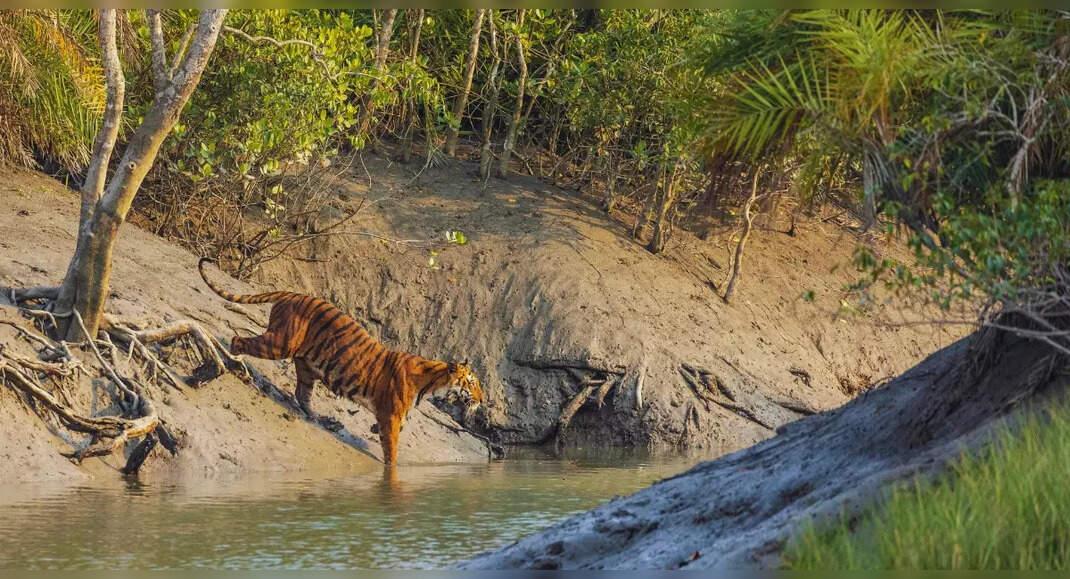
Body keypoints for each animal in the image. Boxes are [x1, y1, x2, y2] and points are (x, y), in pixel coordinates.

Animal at [197, 258, 483, 468]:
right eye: (471, 383)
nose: (481, 400)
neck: (432, 384)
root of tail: (292, 294)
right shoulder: (391, 415)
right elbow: (391, 449)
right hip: (280, 343)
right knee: (238, 340)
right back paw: (237, 363)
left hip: (307, 366)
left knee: (302, 393)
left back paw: (319, 418)